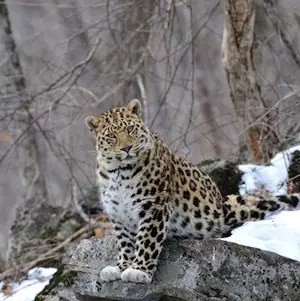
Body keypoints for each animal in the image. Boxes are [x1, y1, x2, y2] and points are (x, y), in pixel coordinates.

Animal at [85, 98, 300, 284]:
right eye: (112, 137)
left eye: (130, 129)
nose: (127, 148)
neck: (118, 172)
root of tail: (222, 208)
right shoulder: (117, 213)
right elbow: (125, 242)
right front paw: (121, 266)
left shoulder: (153, 207)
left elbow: (147, 240)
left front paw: (138, 271)